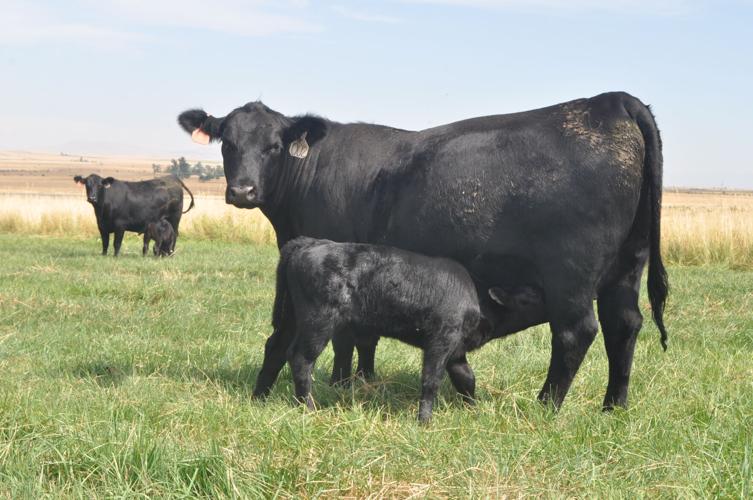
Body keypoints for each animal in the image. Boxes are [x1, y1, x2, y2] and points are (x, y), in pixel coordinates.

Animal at [177, 91, 669, 411]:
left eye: (275, 146)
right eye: (228, 143)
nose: (243, 191)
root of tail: (613, 101)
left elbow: (347, 336)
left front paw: (341, 383)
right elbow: (365, 335)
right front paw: (363, 380)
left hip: (570, 274)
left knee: (575, 332)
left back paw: (545, 406)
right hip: (628, 265)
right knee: (624, 325)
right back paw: (613, 407)